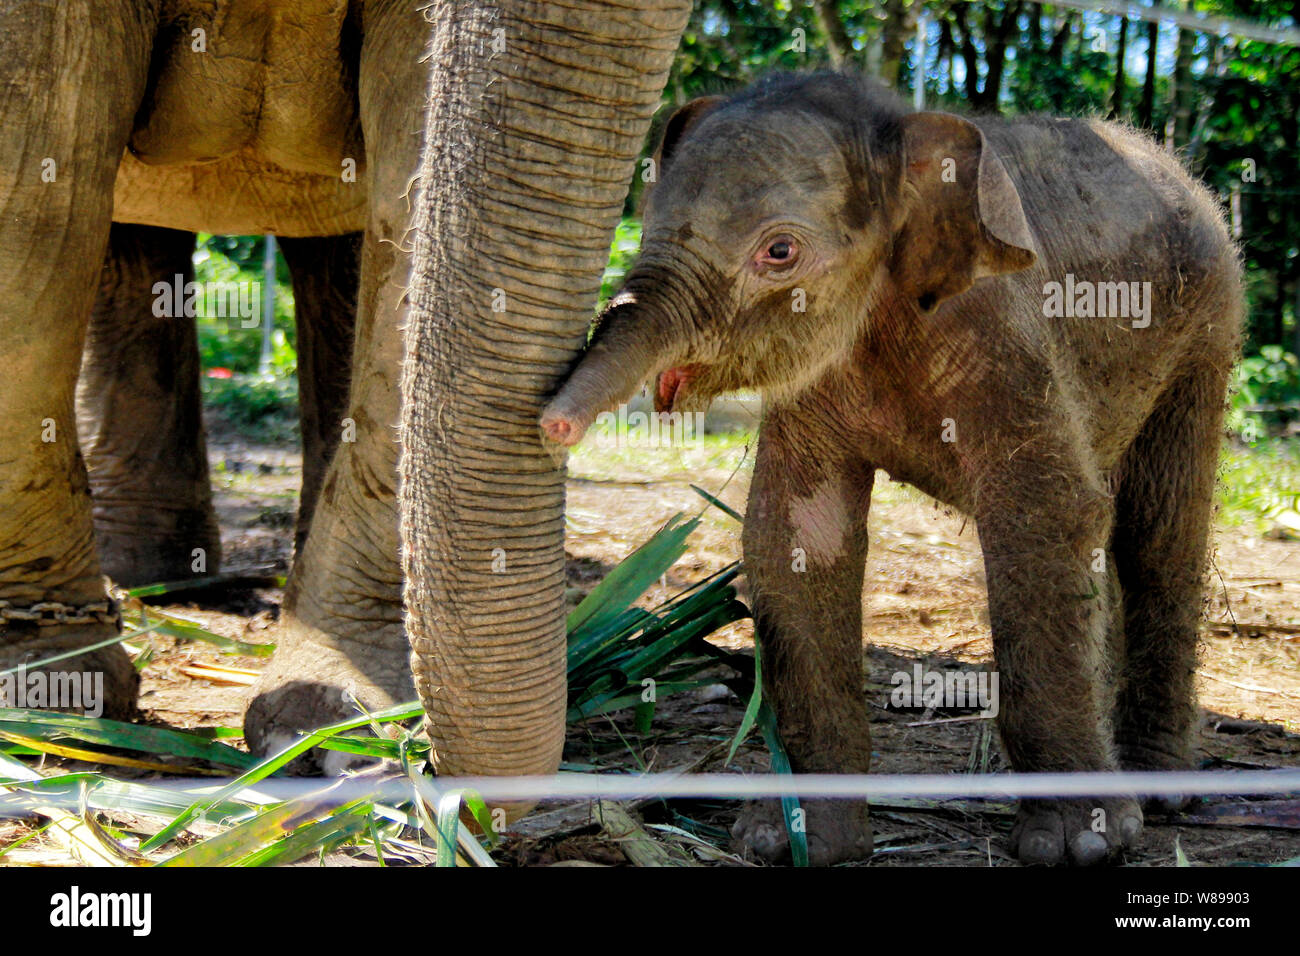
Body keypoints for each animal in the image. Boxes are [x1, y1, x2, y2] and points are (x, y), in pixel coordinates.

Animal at [541, 72, 1244, 865]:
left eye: (779, 251)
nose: (552, 423)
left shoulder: (1004, 335)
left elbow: (1047, 519)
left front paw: (1079, 846)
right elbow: (799, 539)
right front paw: (791, 840)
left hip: (1208, 328)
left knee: (1159, 532)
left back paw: (1159, 792)